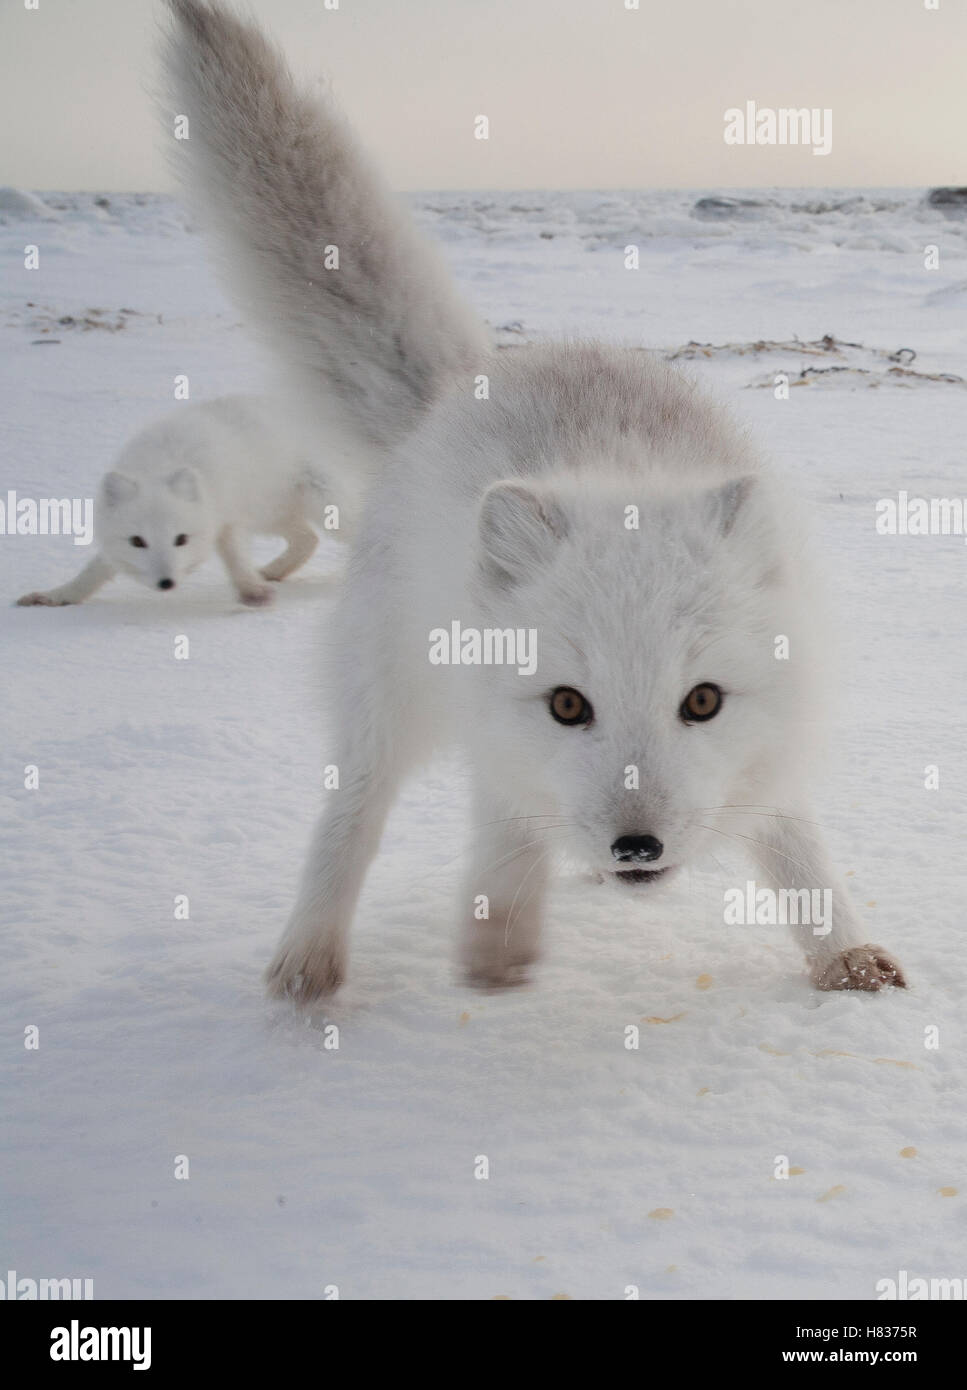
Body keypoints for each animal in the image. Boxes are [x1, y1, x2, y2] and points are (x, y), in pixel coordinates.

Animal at [16, 395, 348, 607]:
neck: (161, 465)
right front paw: (59, 596)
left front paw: (251, 591)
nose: (167, 583)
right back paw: (273, 572)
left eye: (181, 539)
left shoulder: (226, 518)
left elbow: (233, 555)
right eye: (137, 541)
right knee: (308, 539)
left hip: (325, 505)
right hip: (271, 513)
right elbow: (96, 569)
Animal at [164, 0, 906, 1001]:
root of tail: (465, 385)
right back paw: (329, 957)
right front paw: (495, 941)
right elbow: (491, 821)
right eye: (567, 705)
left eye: (702, 701)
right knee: (359, 812)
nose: (636, 848)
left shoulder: (771, 745)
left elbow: (797, 845)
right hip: (388, 694)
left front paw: (845, 958)